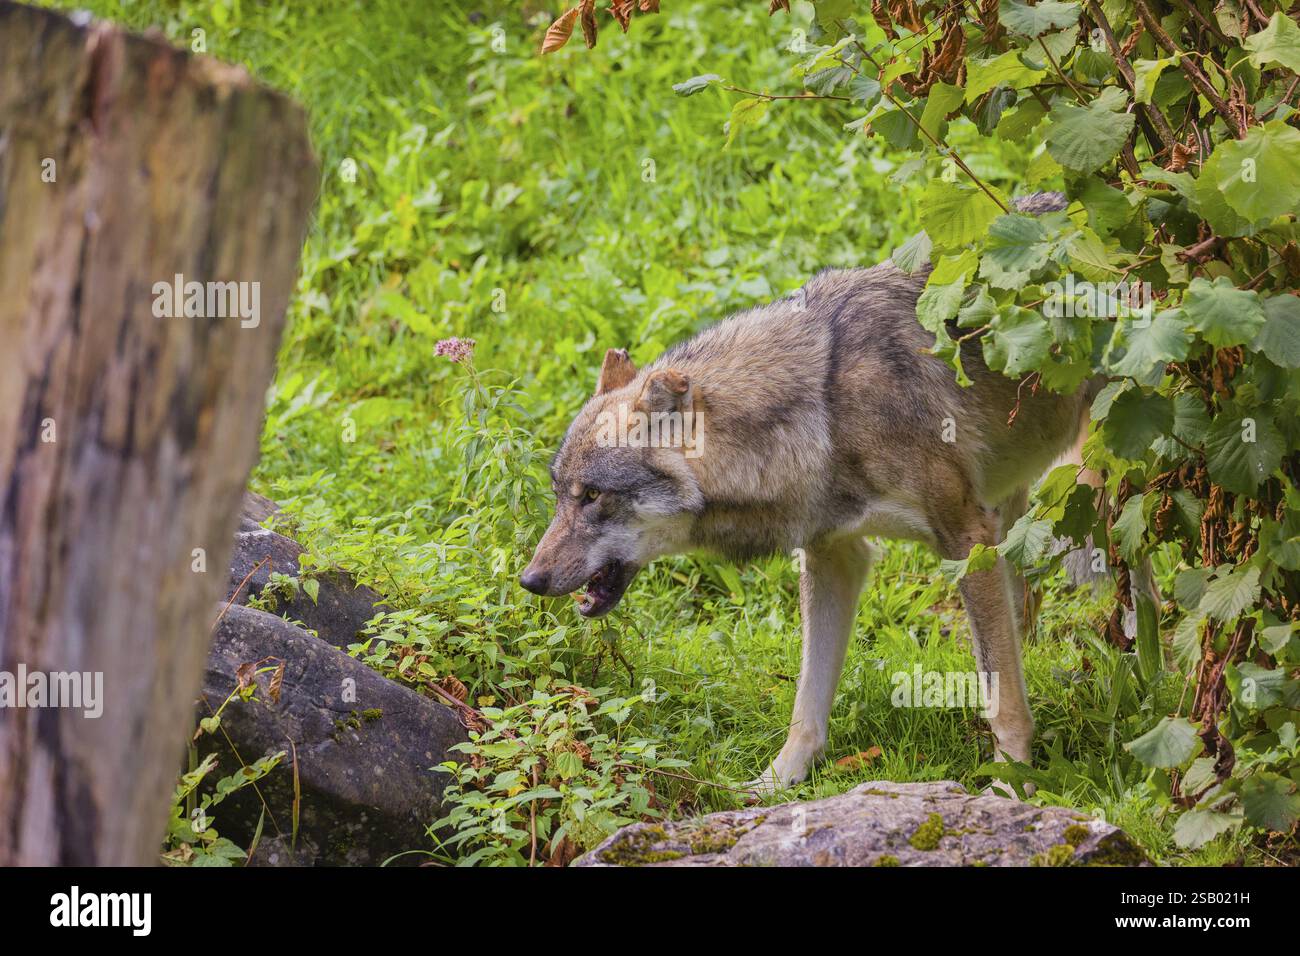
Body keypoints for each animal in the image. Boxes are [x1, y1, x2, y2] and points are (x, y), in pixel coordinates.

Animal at [521, 261, 1134, 792]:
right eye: (560, 494)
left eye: (593, 496)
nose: (529, 580)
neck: (823, 408)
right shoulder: (834, 555)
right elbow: (807, 701)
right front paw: (775, 784)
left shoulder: (966, 538)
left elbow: (999, 696)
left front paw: (1011, 784)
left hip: (1102, 486)